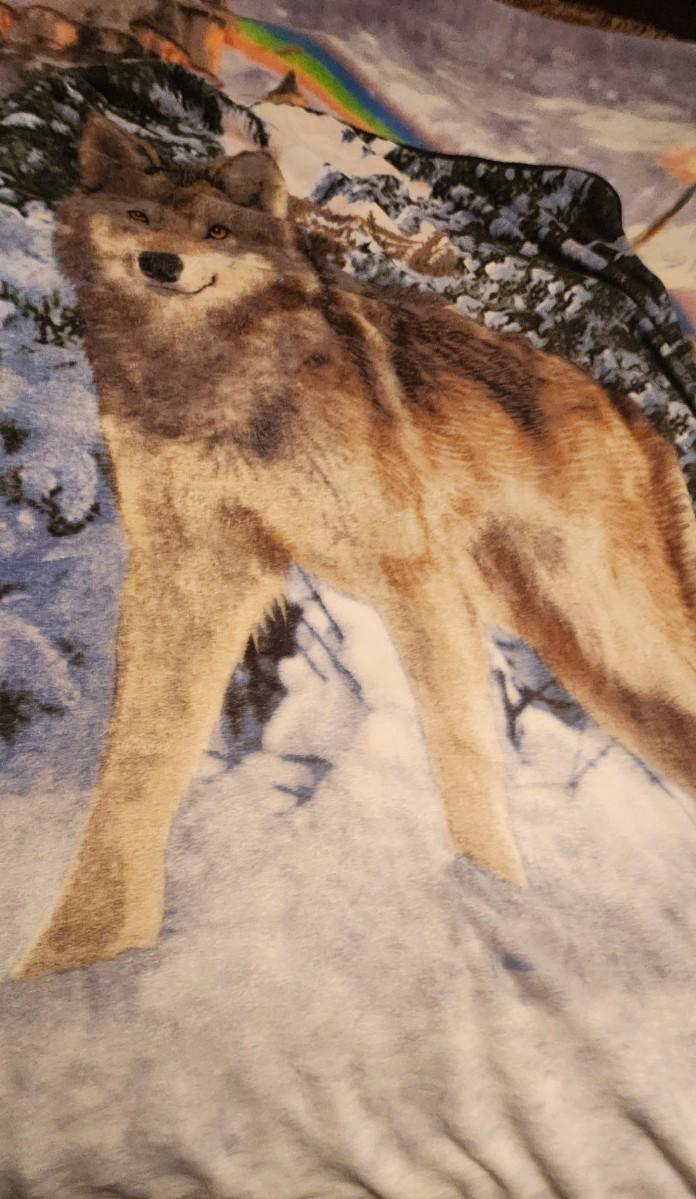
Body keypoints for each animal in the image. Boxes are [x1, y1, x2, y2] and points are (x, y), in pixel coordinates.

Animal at [13, 113, 696, 979]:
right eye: (138, 216)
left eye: (215, 231)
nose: (161, 263)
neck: (210, 380)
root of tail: (641, 418)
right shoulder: (195, 571)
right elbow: (140, 757)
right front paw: (85, 952)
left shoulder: (416, 576)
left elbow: (462, 750)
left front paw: (489, 897)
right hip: (596, 665)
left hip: (624, 639)